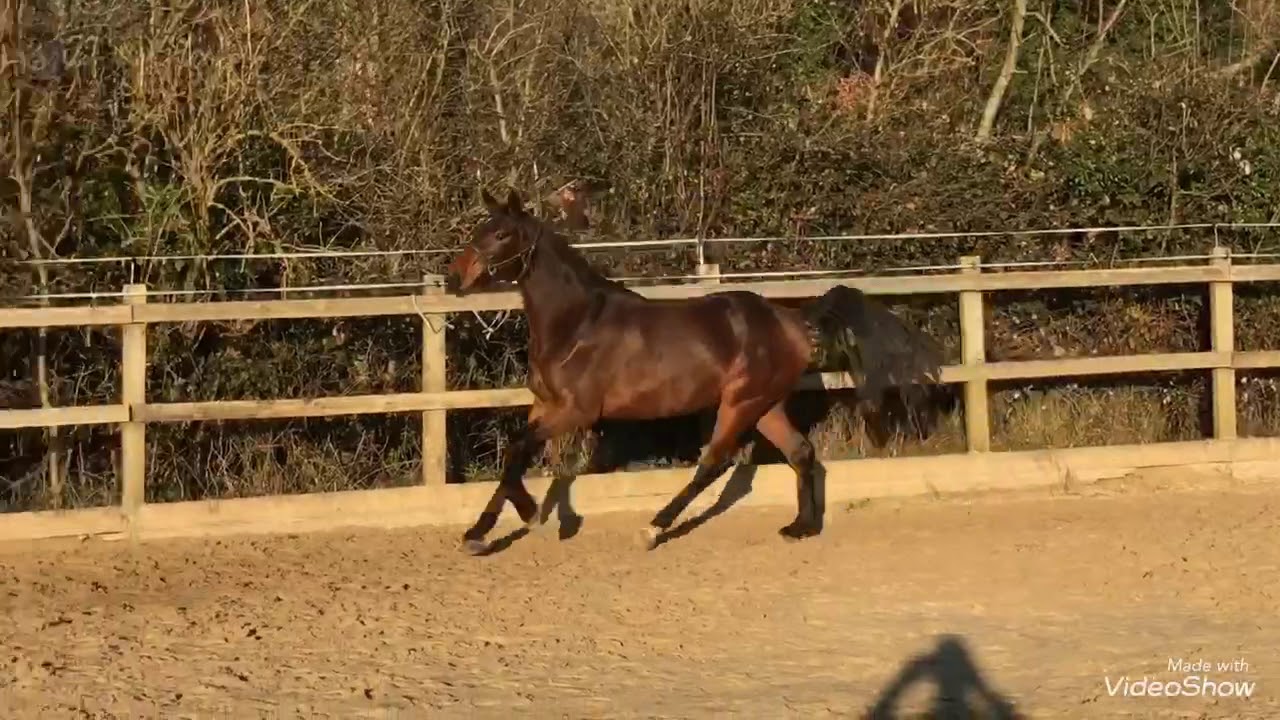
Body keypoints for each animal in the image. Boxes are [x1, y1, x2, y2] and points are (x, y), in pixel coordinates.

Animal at [444, 188, 944, 554]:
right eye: (480, 228)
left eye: (502, 234)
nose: (453, 279)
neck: (577, 322)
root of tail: (792, 320)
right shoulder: (543, 406)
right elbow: (515, 456)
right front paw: (479, 534)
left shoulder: (577, 412)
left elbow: (515, 451)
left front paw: (535, 519)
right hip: (765, 405)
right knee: (801, 453)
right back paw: (800, 527)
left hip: (740, 403)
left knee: (714, 463)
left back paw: (654, 528)